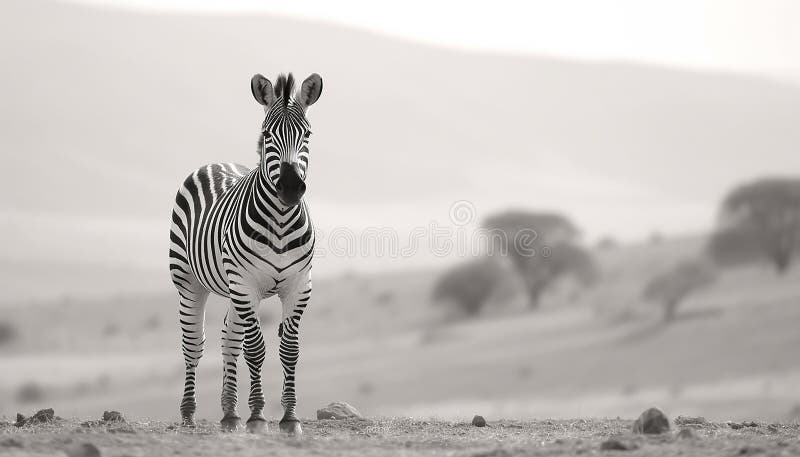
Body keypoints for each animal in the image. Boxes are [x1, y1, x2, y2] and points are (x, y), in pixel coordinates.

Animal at [168, 72, 323, 435]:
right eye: (267, 135)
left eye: (307, 134)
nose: (291, 189)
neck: (280, 220)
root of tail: (215, 162)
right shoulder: (245, 284)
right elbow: (255, 349)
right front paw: (257, 417)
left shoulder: (299, 286)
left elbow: (289, 350)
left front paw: (290, 417)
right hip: (190, 282)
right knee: (194, 345)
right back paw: (189, 414)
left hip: (234, 290)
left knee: (228, 339)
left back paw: (229, 414)